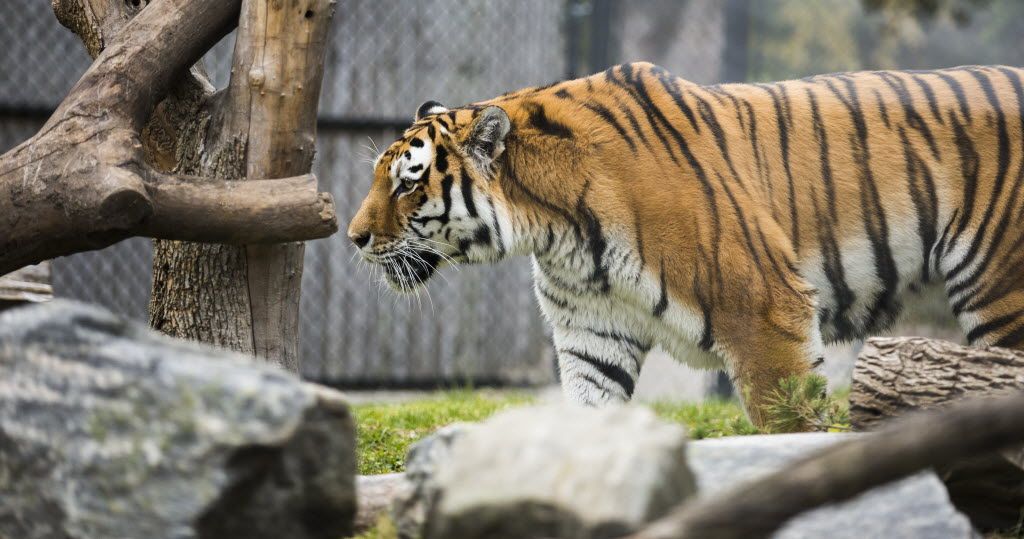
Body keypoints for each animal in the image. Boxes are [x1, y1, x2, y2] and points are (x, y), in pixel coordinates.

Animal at [348, 62, 1024, 428]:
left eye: (408, 181)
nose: (353, 238)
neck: (557, 229)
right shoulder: (592, 336)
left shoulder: (763, 314)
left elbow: (788, 423)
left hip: (1000, 291)